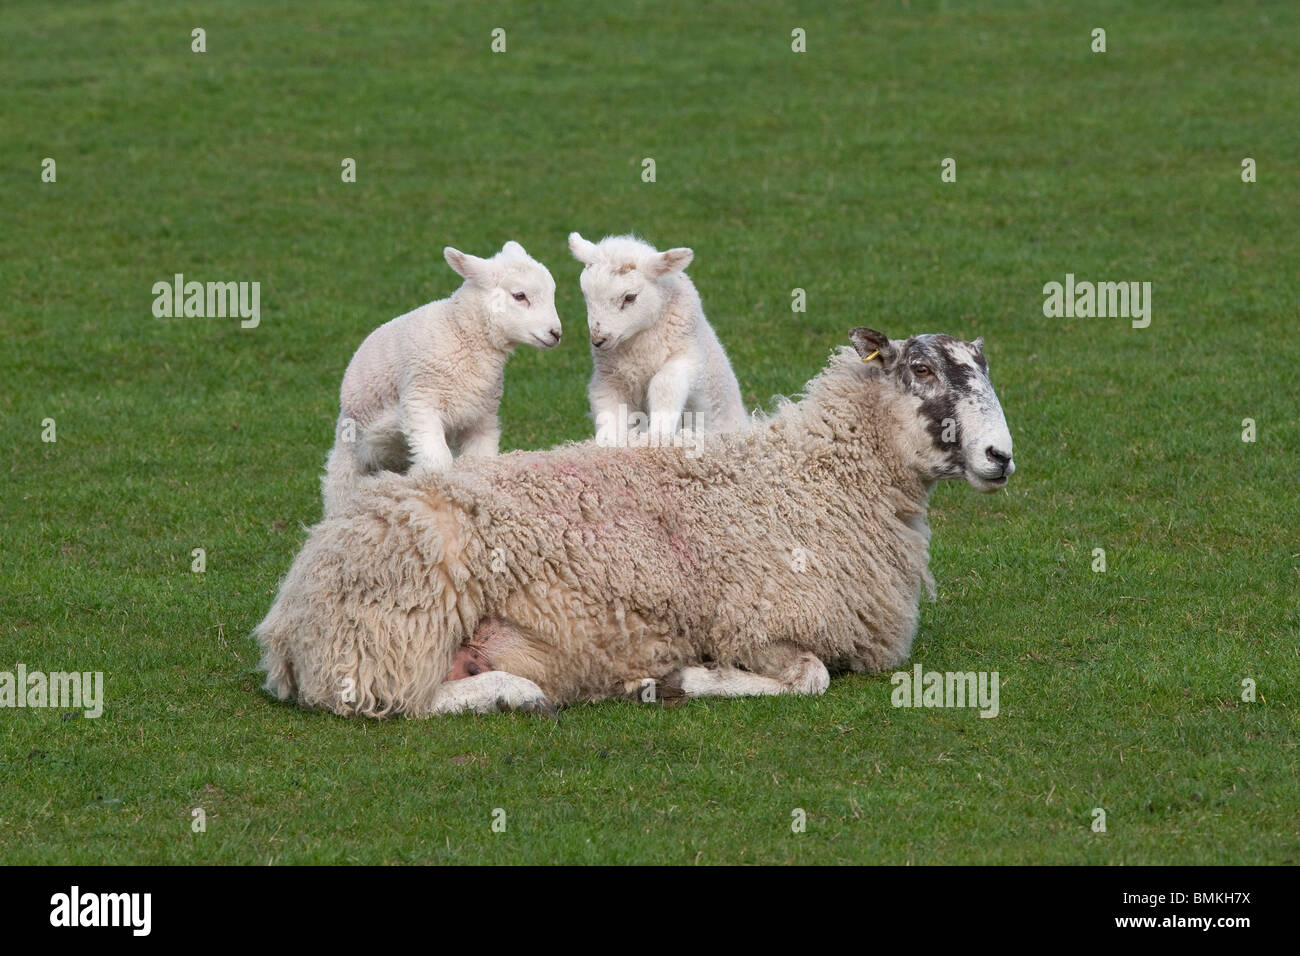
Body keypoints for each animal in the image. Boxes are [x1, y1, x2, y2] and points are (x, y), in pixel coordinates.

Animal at [256, 327, 1015, 717]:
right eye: (922, 369)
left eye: (982, 368)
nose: (1000, 457)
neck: (810, 475)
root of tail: (287, 620)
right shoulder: (754, 624)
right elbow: (809, 677)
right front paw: (684, 681)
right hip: (390, 634)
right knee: (397, 696)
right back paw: (515, 694)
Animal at [320, 240, 562, 518]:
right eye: (519, 296)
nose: (556, 333)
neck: (461, 334)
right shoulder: (420, 402)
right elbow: (438, 461)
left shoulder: (482, 417)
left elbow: (479, 463)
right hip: (349, 443)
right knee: (338, 487)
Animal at [567, 232, 746, 447]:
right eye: (586, 296)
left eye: (630, 297)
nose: (598, 340)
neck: (639, 349)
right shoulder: (609, 376)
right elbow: (606, 404)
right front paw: (608, 439)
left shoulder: (688, 358)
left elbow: (665, 385)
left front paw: (658, 434)